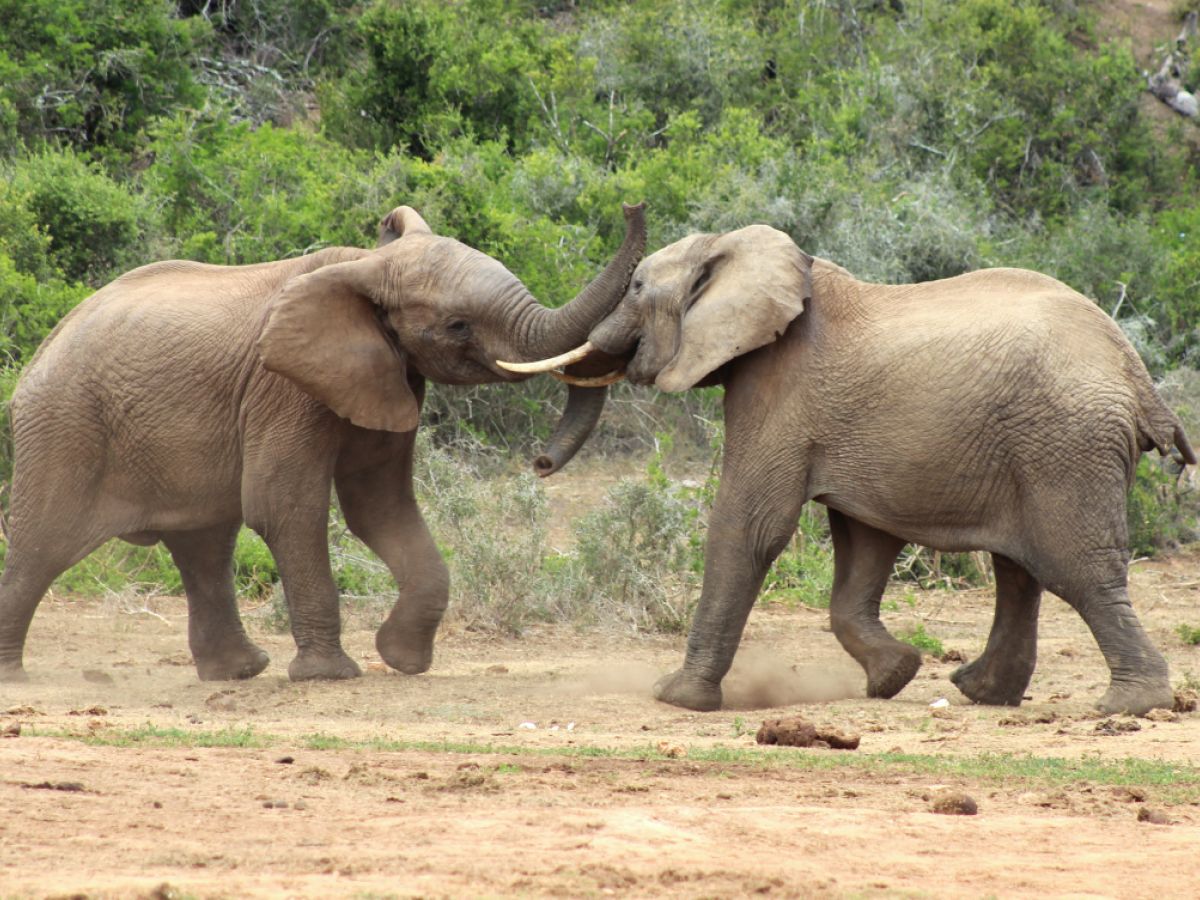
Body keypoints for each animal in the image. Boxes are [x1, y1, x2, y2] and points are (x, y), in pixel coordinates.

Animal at [0, 202, 645, 683]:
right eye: (458, 325)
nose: (541, 462)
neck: (368, 266)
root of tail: (45, 347)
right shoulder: (282, 386)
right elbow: (284, 506)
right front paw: (330, 675)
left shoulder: (389, 374)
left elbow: (379, 506)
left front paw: (403, 660)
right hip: (65, 428)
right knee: (42, 546)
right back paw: (15, 677)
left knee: (203, 545)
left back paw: (239, 672)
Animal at [508, 224, 1196, 716]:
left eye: (635, 288)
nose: (538, 464)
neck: (740, 252)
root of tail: (1136, 374)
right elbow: (864, 542)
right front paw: (895, 676)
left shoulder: (778, 389)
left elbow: (749, 527)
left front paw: (676, 697)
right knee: (1020, 570)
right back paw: (981, 692)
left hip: (1065, 444)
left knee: (1077, 570)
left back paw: (1130, 704)